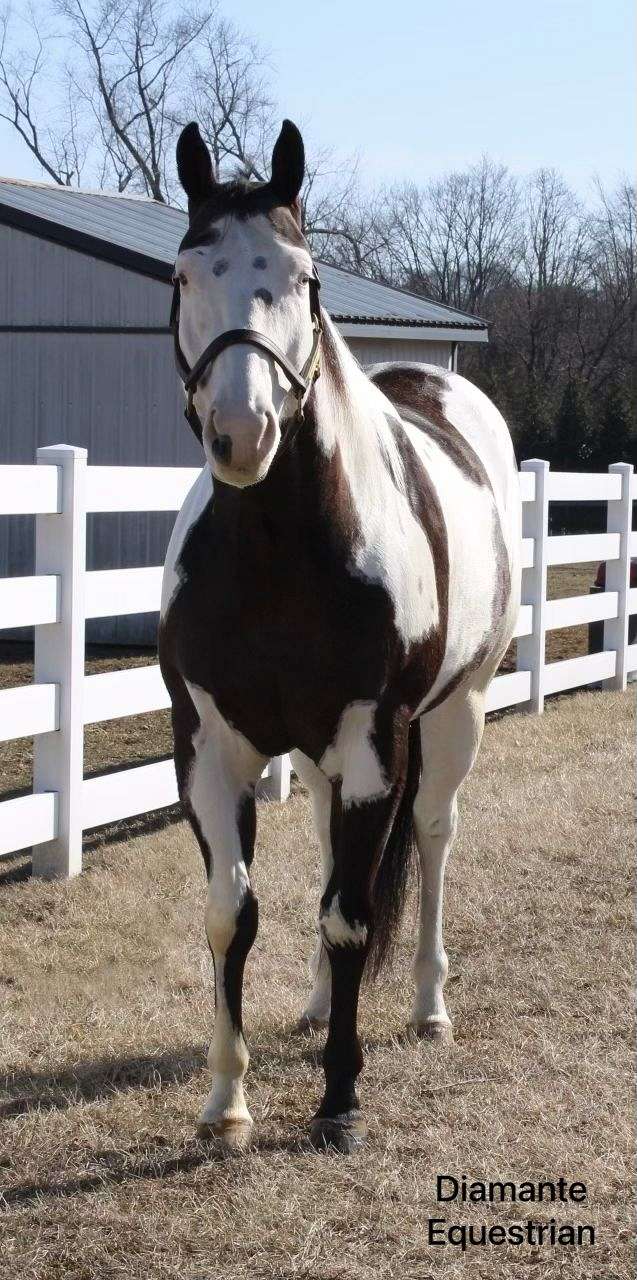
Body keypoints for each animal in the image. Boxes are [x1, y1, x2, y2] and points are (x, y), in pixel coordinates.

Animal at [158, 118, 521, 1154]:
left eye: (303, 272)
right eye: (185, 271)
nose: (241, 433)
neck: (280, 556)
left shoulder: (373, 747)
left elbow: (352, 918)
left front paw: (339, 1097)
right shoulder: (211, 749)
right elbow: (231, 915)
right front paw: (227, 1100)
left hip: (452, 720)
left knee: (432, 839)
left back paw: (428, 1006)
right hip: (322, 761)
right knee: (324, 849)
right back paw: (320, 1005)